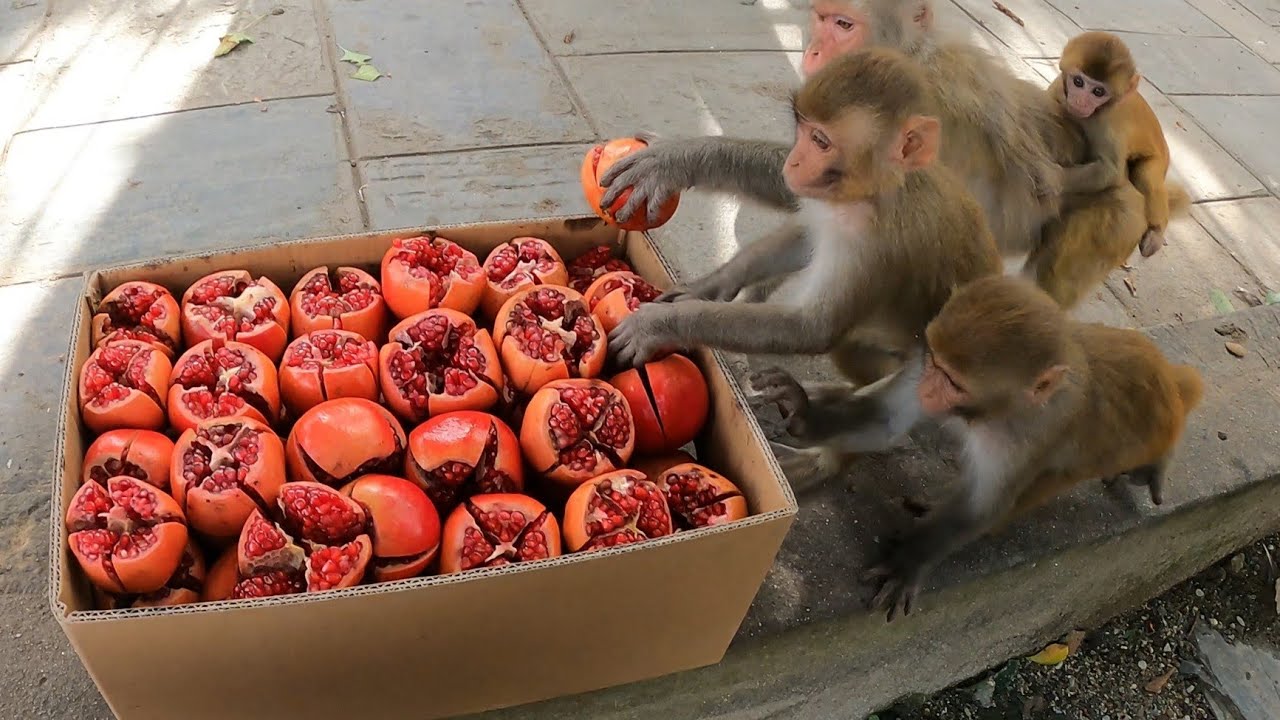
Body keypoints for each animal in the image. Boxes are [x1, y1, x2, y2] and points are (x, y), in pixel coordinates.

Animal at [607, 47, 1003, 393]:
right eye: (804, 130)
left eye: (821, 141)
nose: (794, 162)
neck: (876, 192)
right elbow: (804, 239)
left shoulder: (879, 245)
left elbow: (811, 329)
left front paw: (656, 326)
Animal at [749, 274, 1204, 620]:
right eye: (933, 362)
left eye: (953, 381)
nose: (927, 387)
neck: (988, 412)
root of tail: (1162, 371)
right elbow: (885, 420)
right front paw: (802, 411)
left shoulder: (1034, 432)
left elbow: (981, 506)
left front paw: (911, 559)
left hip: (1132, 430)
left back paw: (1156, 463)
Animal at [1049, 31, 1190, 258]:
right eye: (1078, 82)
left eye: (1098, 92)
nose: (1080, 102)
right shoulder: (1058, 91)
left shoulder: (1110, 122)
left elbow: (1111, 171)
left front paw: (1053, 178)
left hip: (1161, 160)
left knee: (1146, 177)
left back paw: (1157, 230)